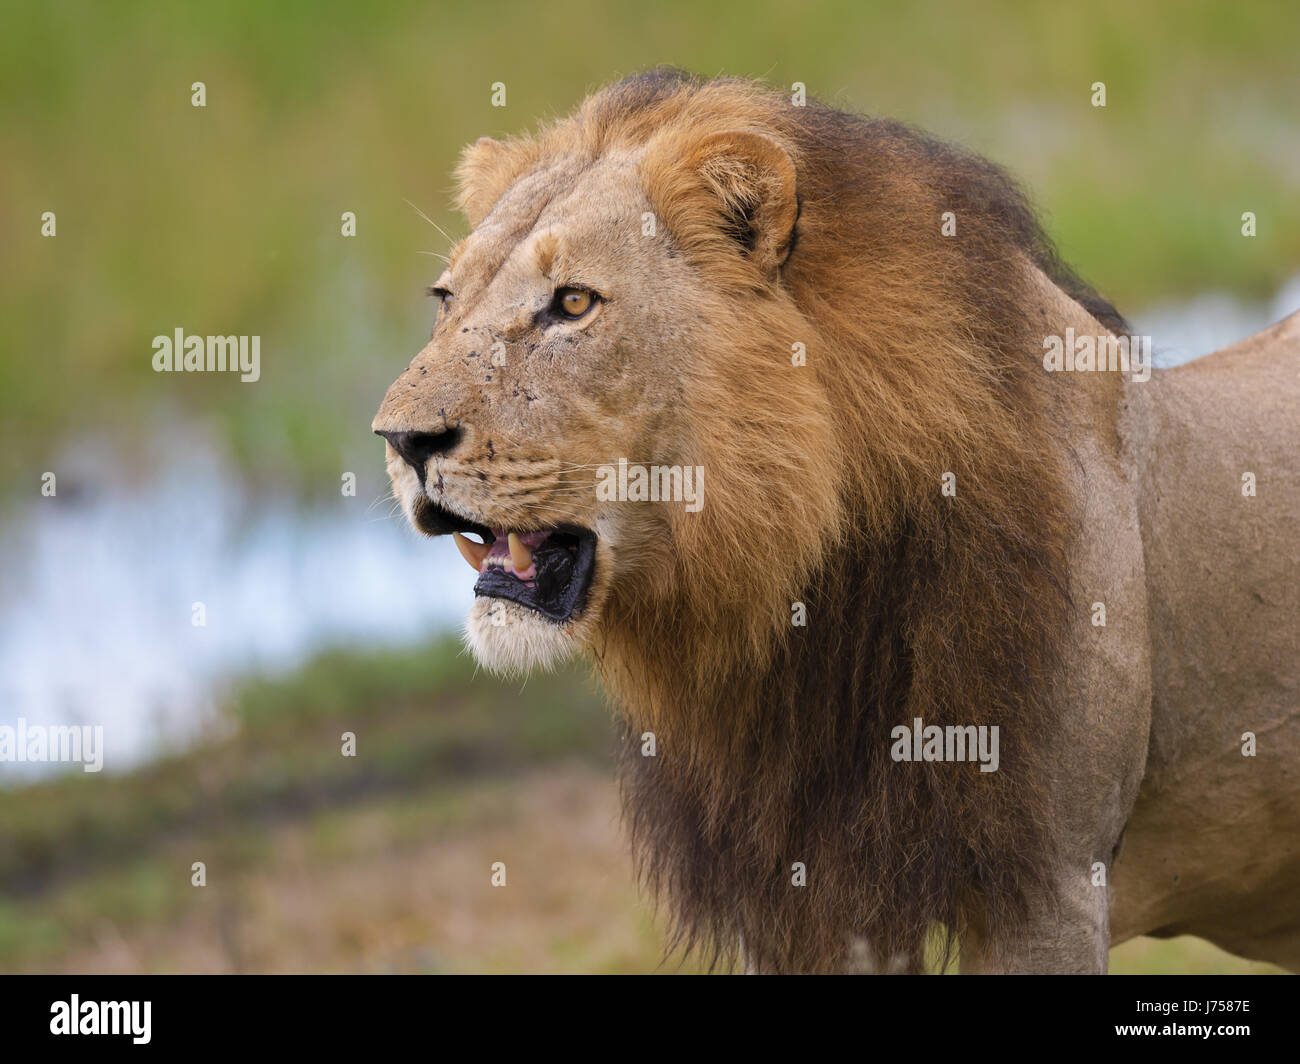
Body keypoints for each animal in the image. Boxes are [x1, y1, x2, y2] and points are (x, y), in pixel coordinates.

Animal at [373, 70, 1300, 974]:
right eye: (446, 298)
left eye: (571, 303)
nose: (400, 439)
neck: (793, 590)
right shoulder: (804, 894)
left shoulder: (1051, 886)